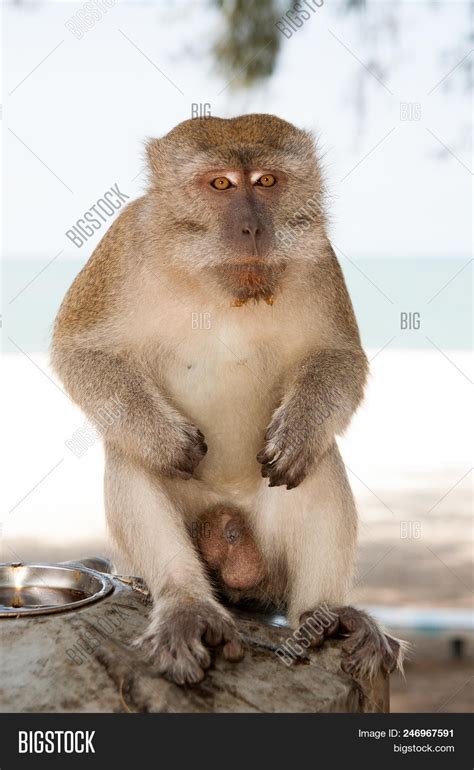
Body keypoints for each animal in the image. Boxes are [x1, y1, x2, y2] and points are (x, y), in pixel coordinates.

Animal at [52, 114, 405, 686]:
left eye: (266, 182)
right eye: (220, 184)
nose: (252, 228)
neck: (221, 286)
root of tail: (230, 532)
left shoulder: (318, 256)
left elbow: (338, 357)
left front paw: (299, 428)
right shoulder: (128, 241)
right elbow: (82, 352)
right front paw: (167, 441)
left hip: (270, 558)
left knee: (317, 460)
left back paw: (324, 615)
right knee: (130, 453)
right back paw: (187, 604)